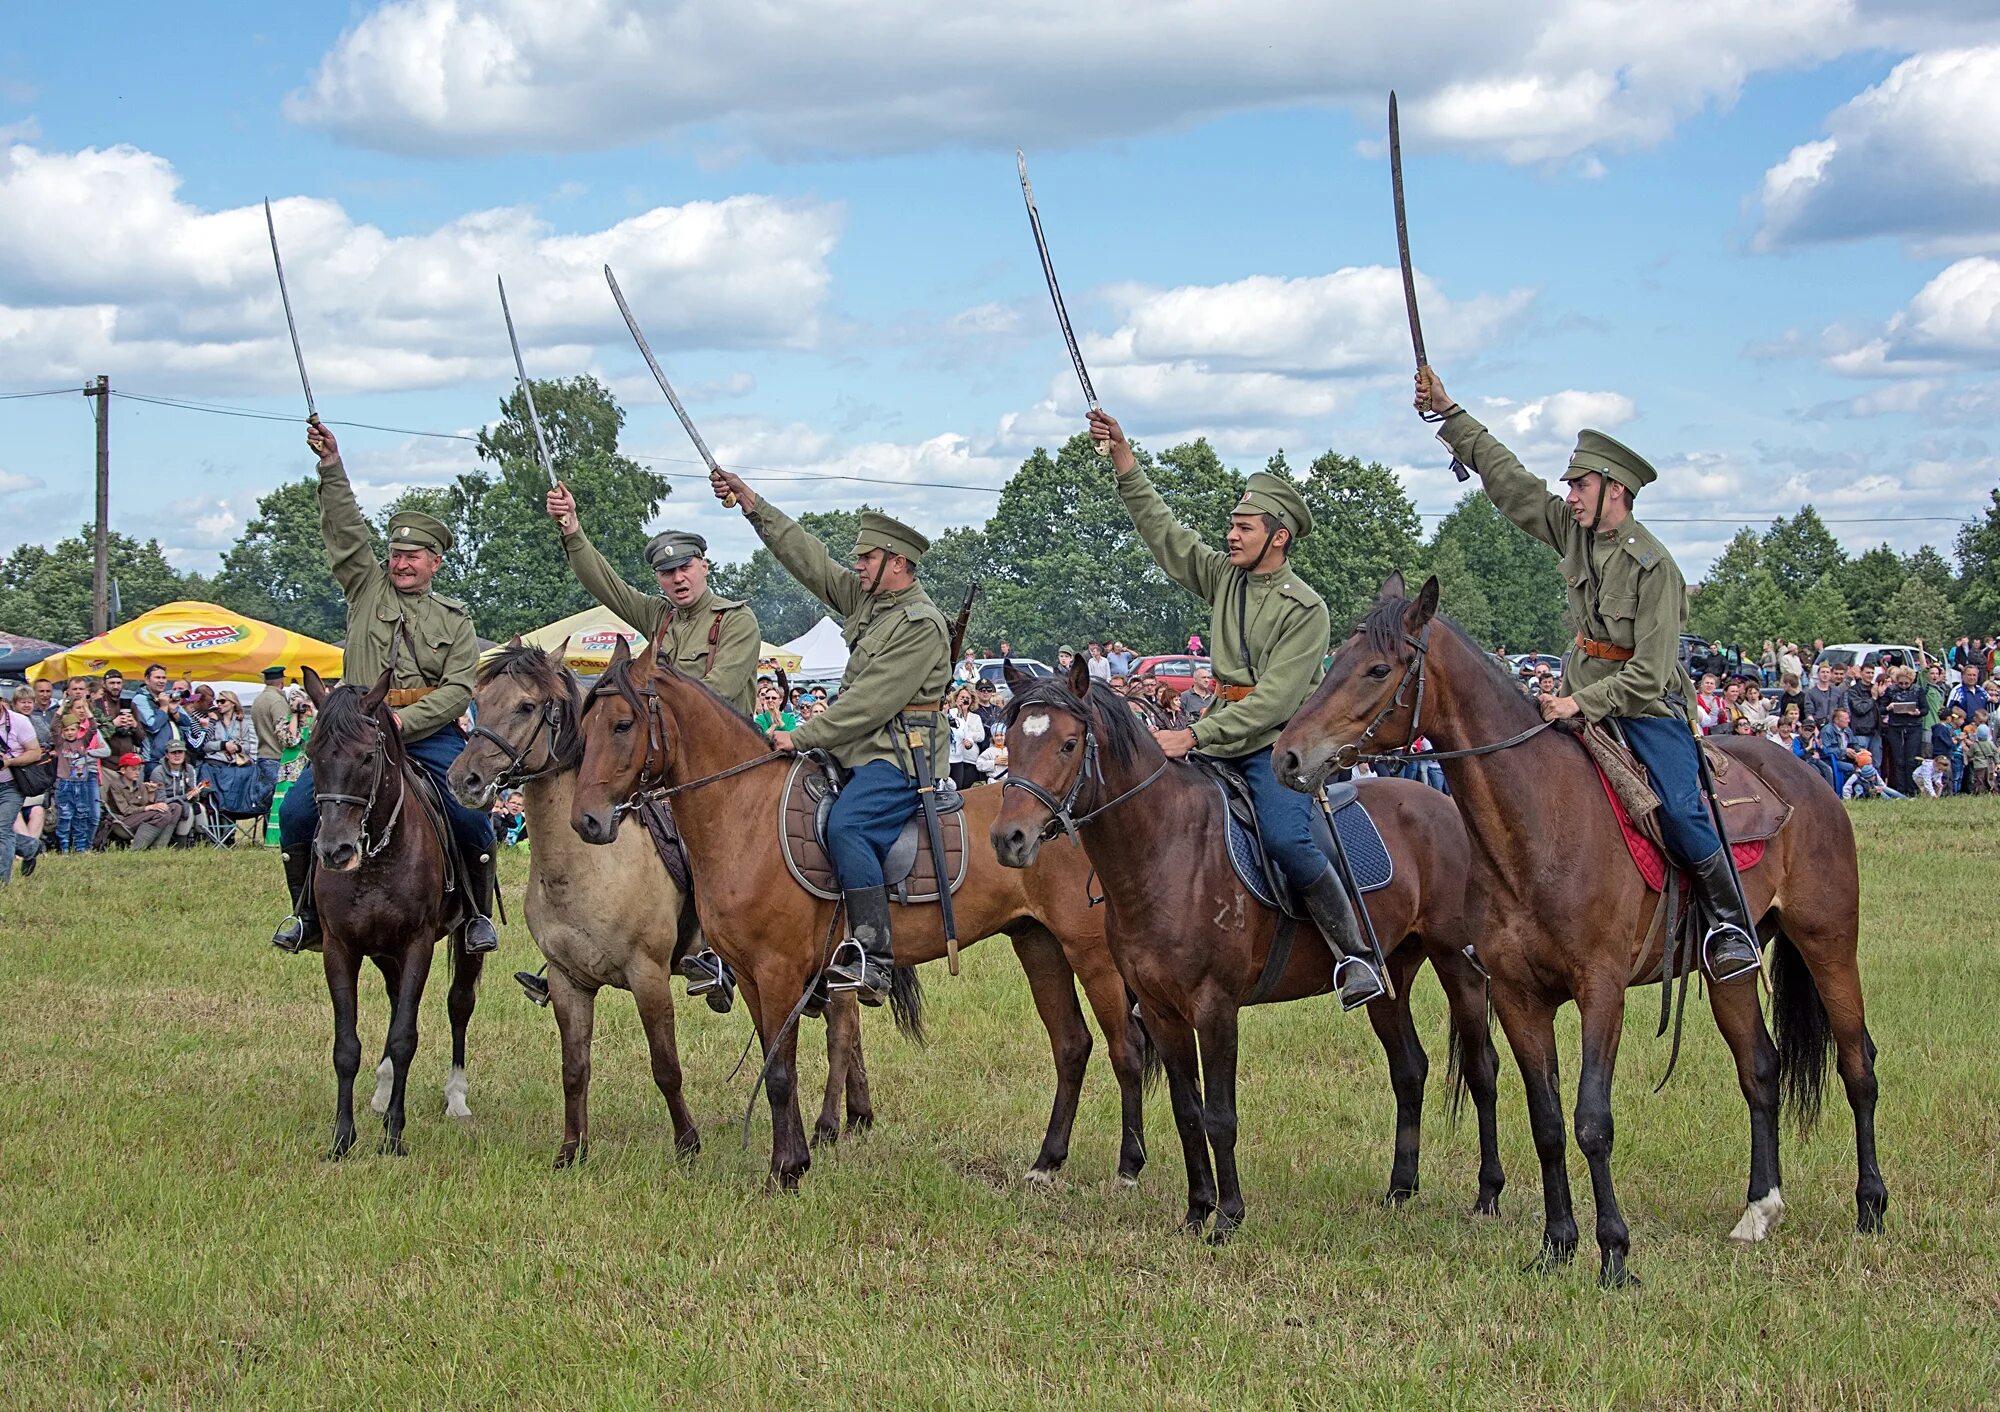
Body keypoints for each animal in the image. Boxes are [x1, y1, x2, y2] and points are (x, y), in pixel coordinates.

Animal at [298, 660, 482, 1152]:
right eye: (312, 753)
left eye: (366, 757)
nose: (335, 851)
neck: (378, 857)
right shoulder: (339, 948)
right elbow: (346, 1046)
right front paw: (342, 1139)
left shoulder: (417, 944)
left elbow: (405, 1037)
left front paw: (394, 1137)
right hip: (381, 952)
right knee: (396, 996)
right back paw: (381, 1093)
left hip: (463, 944)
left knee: (459, 1004)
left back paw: (456, 1097)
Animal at [450, 644, 872, 1160]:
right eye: (478, 700)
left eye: (525, 706)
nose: (464, 780)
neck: (584, 865)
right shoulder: (569, 982)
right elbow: (574, 1069)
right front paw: (572, 1151)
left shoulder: (647, 975)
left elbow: (665, 1065)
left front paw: (688, 1143)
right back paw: (858, 1115)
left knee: (841, 1029)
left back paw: (829, 1124)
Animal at [572, 632, 1152, 1192]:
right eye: (584, 725)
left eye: (622, 723)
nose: (587, 821)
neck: (744, 812)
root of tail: (1076, 812)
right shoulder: (751, 976)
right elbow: (779, 1064)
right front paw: (796, 1158)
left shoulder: (779, 971)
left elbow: (780, 1072)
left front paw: (786, 1170)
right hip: (1039, 945)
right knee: (1071, 1045)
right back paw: (1046, 1163)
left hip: (1091, 954)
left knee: (1125, 1048)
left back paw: (1129, 1166)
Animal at [984, 656, 1504, 1240]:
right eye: (1011, 739)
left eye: (1069, 744)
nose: (1009, 839)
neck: (1166, 847)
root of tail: (1449, 809)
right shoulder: (1161, 1010)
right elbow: (1187, 1110)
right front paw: (1196, 1211)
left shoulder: (1215, 1008)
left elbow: (1220, 1115)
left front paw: (1228, 1216)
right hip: (1391, 973)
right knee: (1409, 1069)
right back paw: (1400, 1189)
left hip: (1457, 965)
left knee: (1482, 1069)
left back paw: (1487, 1193)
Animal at [1272, 576, 1880, 1288]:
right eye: (1334, 659)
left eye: (1375, 668)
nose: (1288, 755)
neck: (1537, 824)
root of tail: (1807, 778)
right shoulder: (1517, 997)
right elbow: (1547, 1123)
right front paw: (1557, 1244)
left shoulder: (1601, 990)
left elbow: (1592, 1121)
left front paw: (1614, 1252)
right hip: (1730, 966)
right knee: (1760, 1069)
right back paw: (1759, 1210)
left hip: (1828, 942)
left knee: (1856, 1063)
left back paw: (1871, 1206)